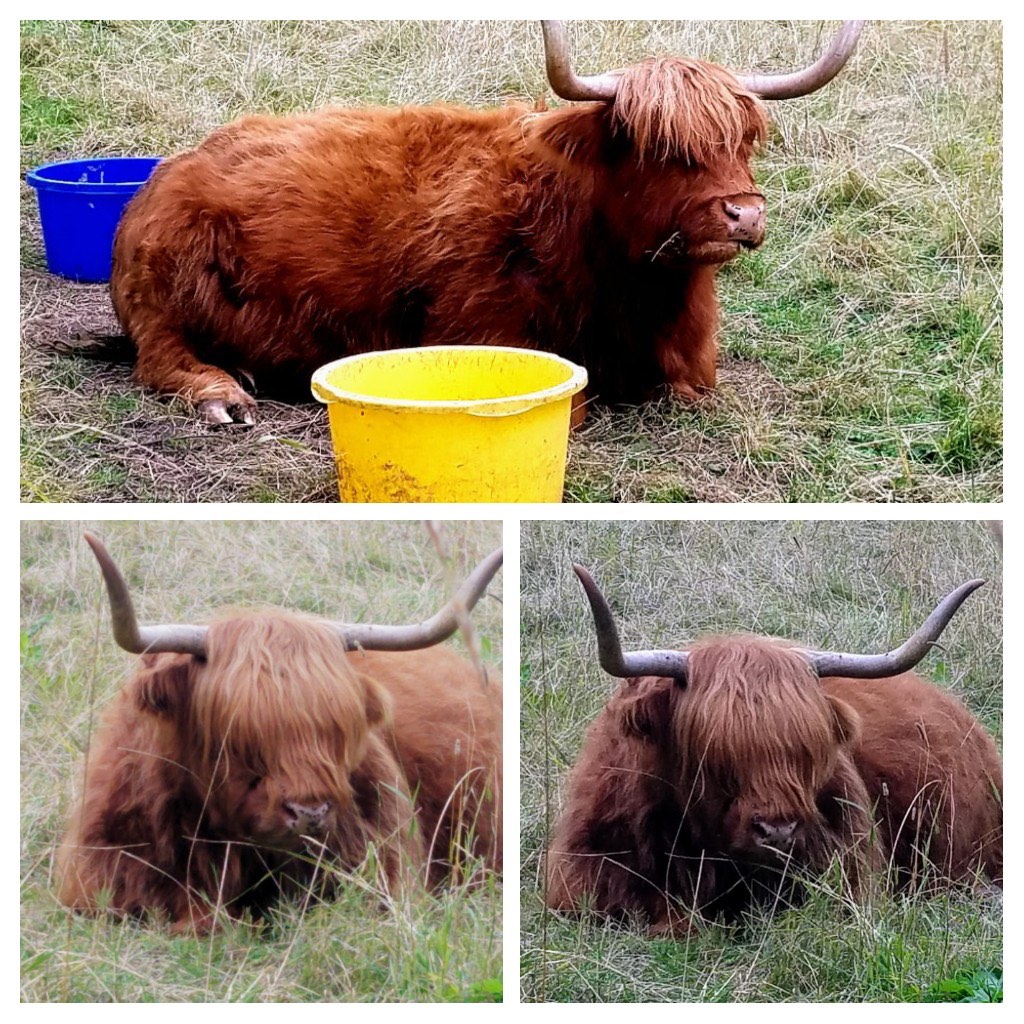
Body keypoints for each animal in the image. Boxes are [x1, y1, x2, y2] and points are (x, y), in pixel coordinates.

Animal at [107, 20, 864, 424]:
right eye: (655, 146)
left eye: (744, 140)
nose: (744, 212)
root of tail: (170, 172)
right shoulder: (481, 331)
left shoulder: (691, 366)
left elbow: (691, 392)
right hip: (164, 297)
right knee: (160, 361)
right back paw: (223, 392)